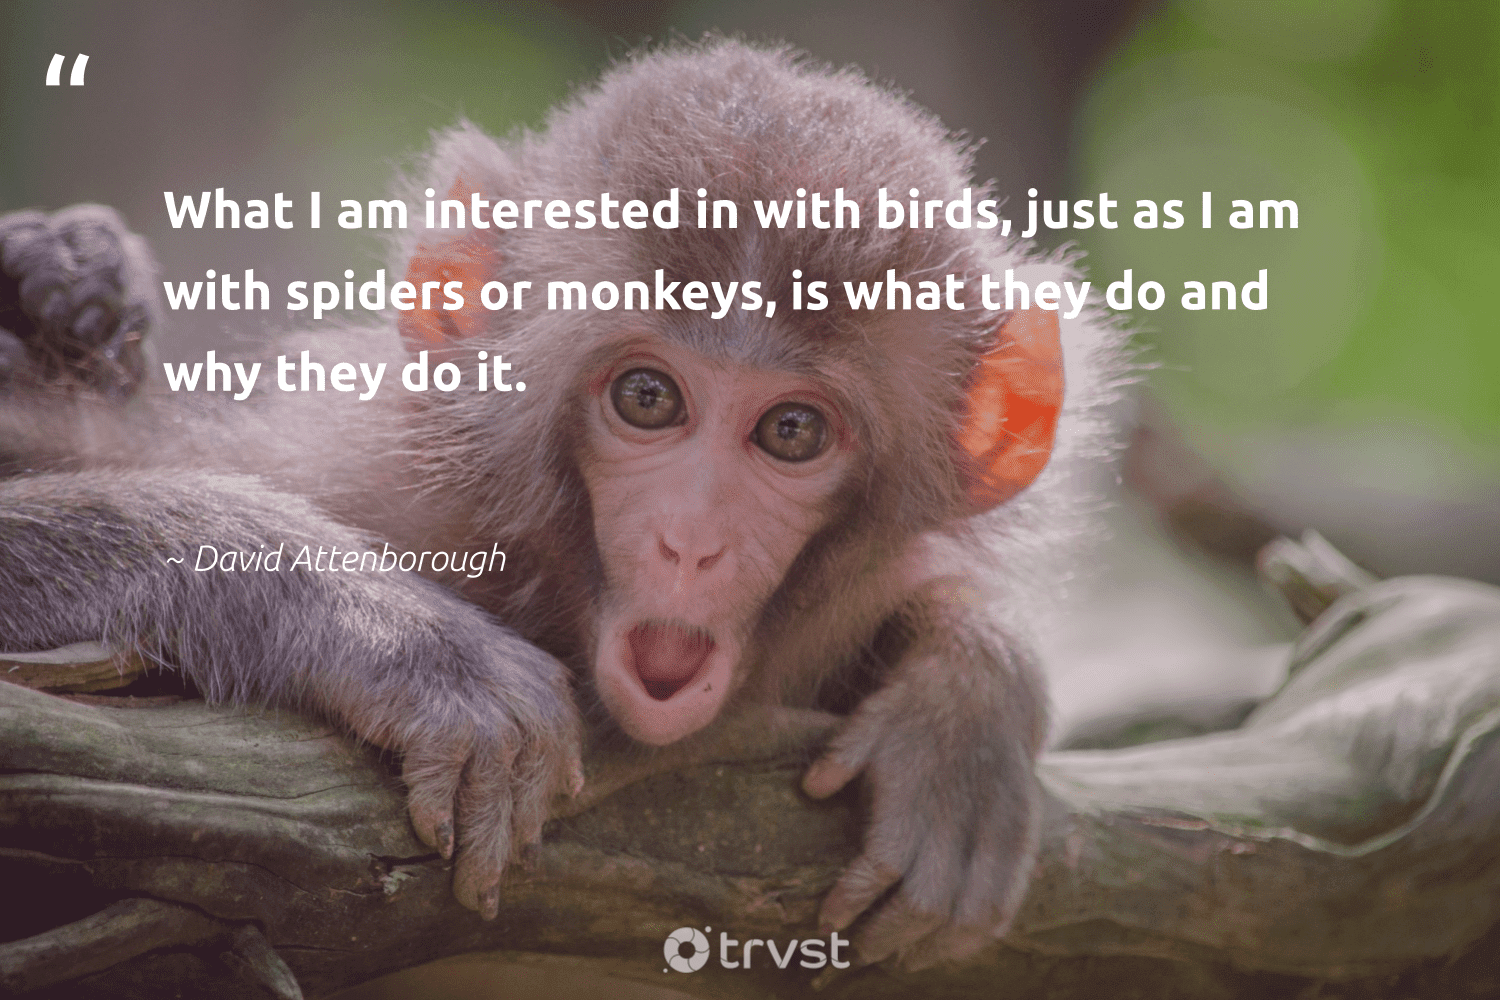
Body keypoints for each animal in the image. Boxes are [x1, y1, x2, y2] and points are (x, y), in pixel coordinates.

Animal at [0, 40, 1122, 968]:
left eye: (792, 432)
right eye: (648, 399)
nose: (691, 541)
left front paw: (966, 697)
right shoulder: (360, 470)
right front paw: (390, 633)